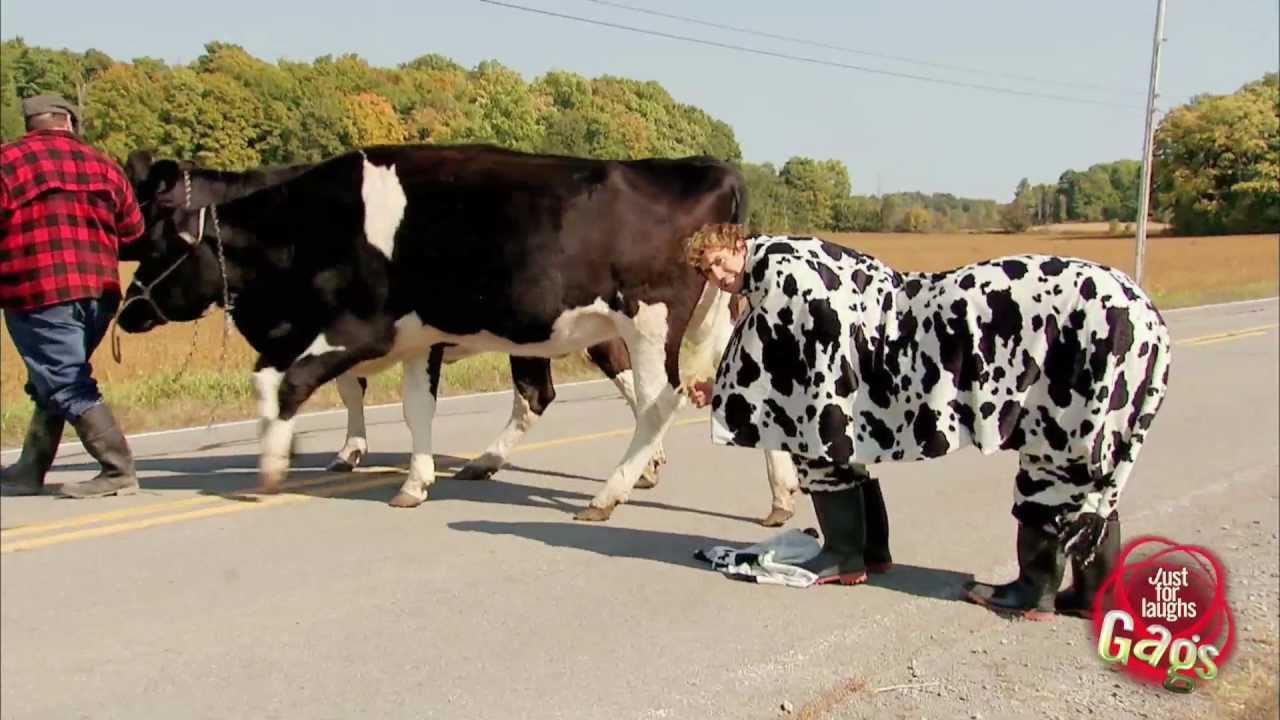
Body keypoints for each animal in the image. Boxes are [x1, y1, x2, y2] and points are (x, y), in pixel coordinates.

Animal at [116, 144, 800, 523]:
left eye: (152, 246)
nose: (124, 313)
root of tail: (703, 169)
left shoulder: (361, 326)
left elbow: (280, 383)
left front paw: (272, 466)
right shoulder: (417, 338)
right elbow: (414, 407)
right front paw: (412, 482)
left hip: (649, 321)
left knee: (654, 404)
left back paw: (609, 494)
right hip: (712, 318)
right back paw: (779, 498)